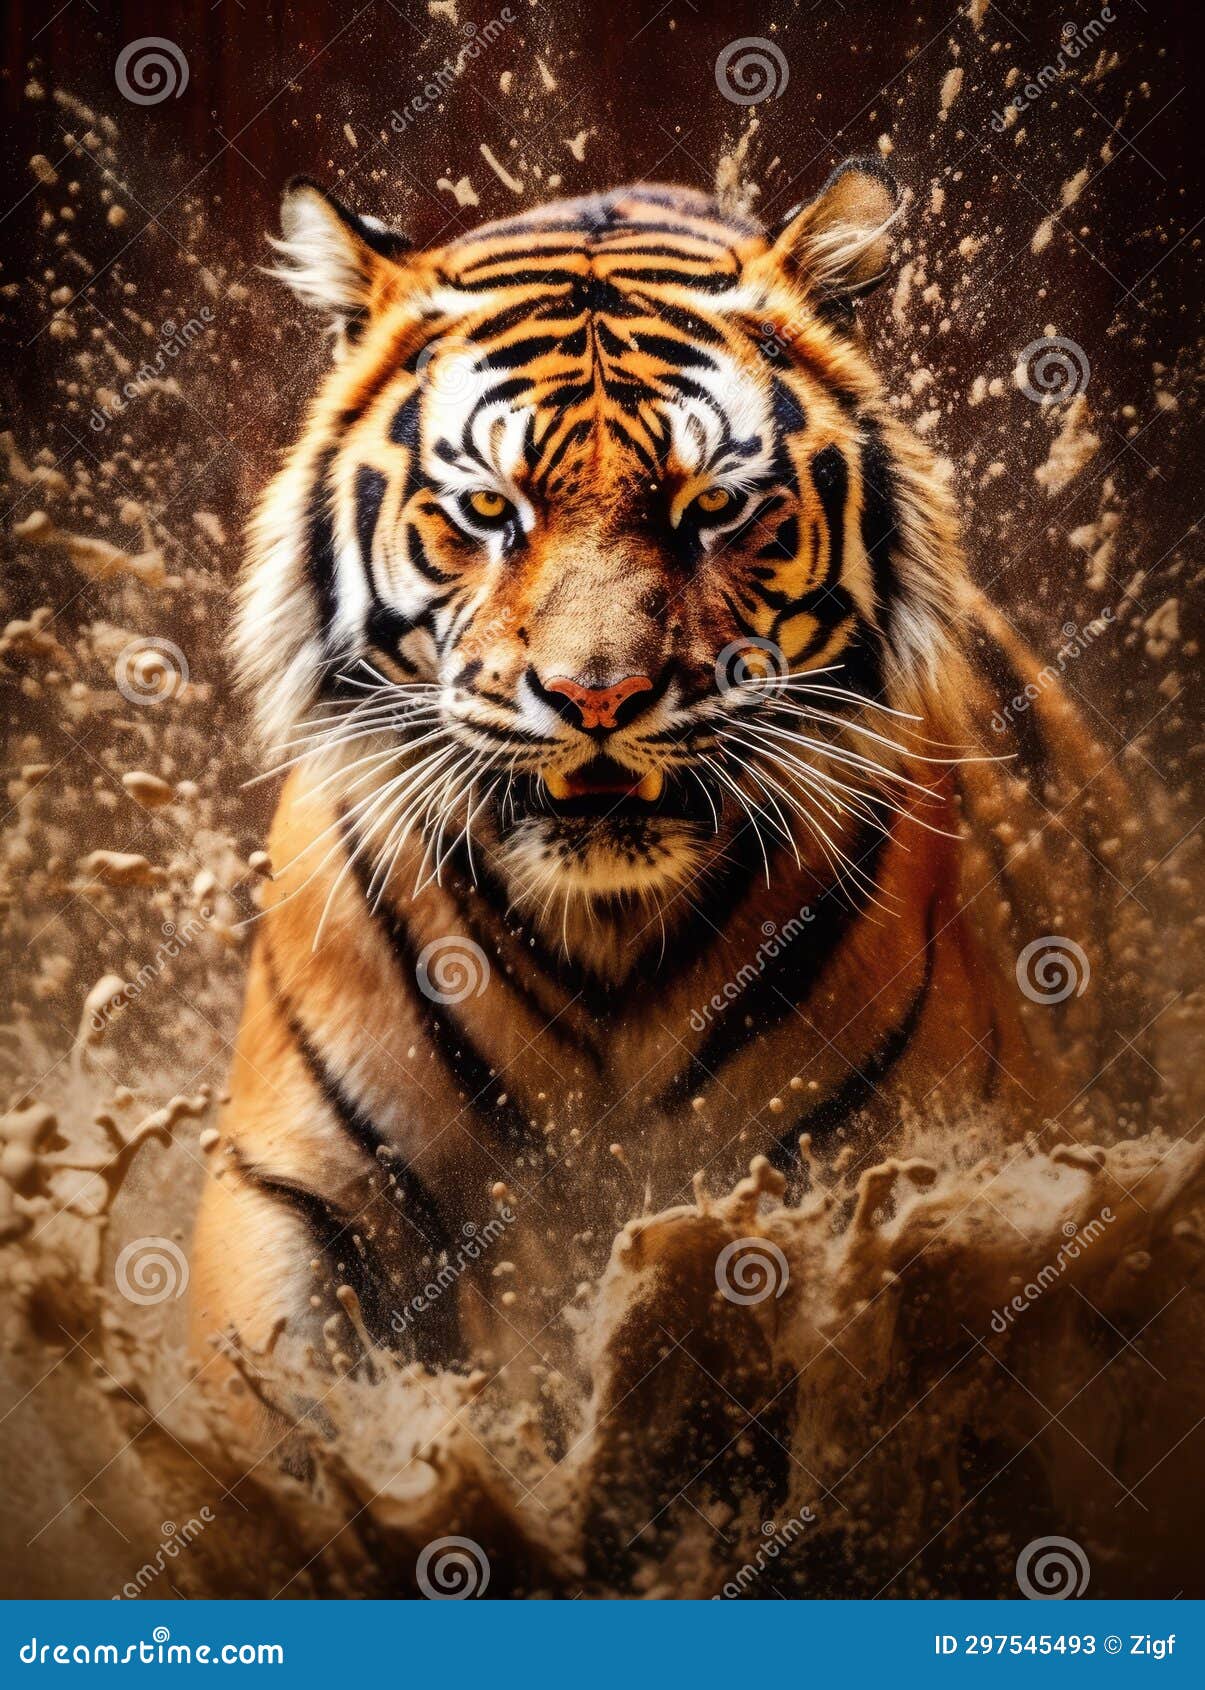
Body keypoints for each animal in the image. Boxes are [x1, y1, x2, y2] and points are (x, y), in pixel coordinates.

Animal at [189, 160, 1140, 1407]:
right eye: (488, 509)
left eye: (713, 507)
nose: (596, 697)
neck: (603, 941)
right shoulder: (291, 1187)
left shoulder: (952, 1159)